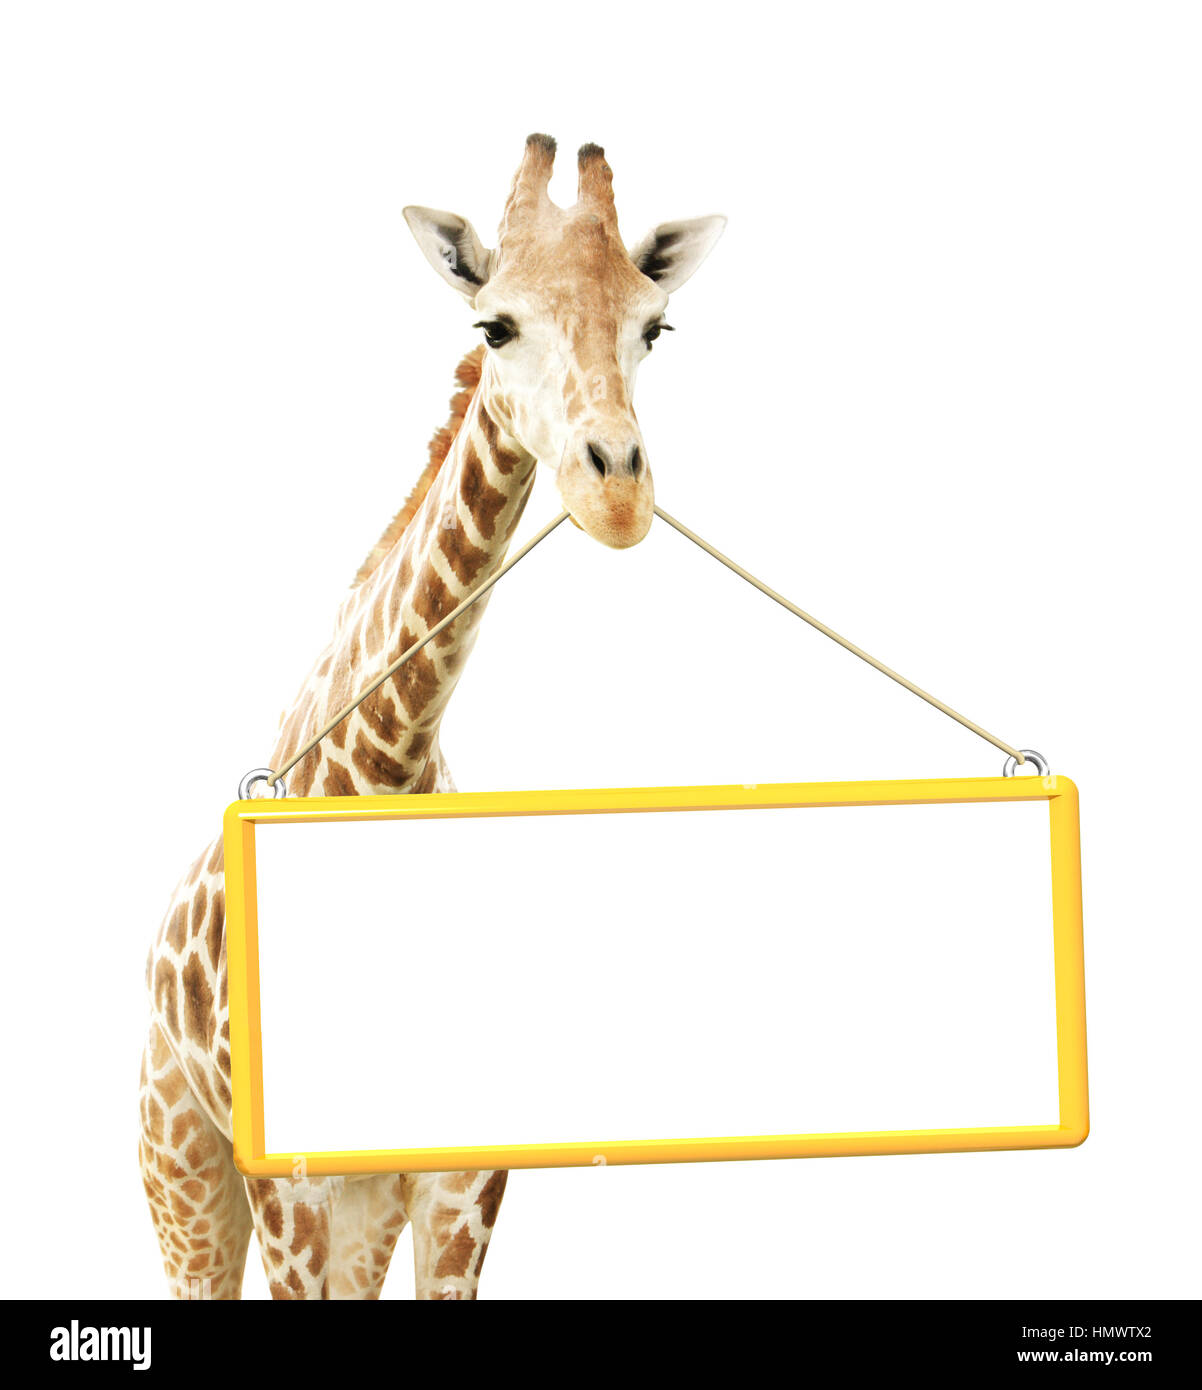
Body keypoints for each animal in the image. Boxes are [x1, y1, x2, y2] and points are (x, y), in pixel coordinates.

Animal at [139, 133, 725, 1300]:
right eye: (493, 325)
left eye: (656, 325)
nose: (617, 496)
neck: (383, 770)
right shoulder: (290, 1192)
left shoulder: (463, 1179)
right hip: (182, 1174)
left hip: (363, 1207)